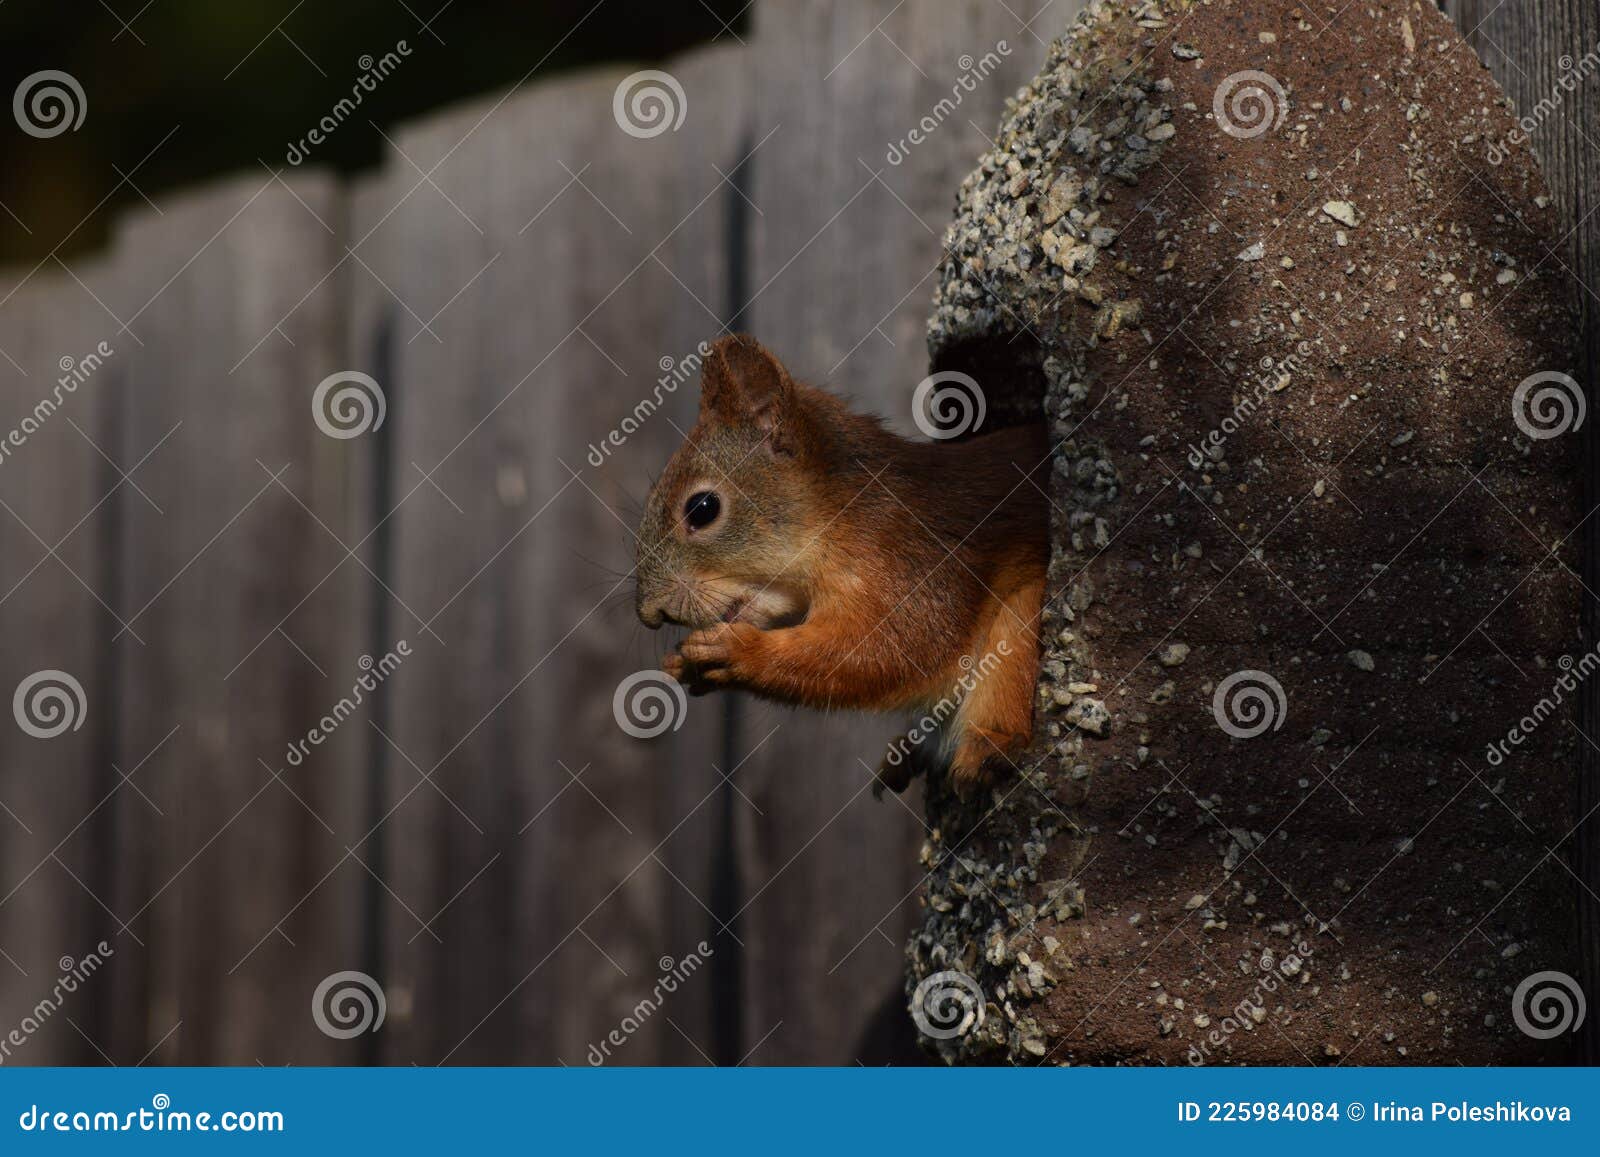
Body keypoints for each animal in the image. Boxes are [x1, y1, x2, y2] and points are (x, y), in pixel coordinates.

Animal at [635, 334, 1048, 794]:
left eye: (702, 508)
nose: (650, 613)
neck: (844, 515)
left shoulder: (916, 565)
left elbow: (891, 649)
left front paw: (740, 652)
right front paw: (683, 664)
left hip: (1022, 616)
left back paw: (988, 746)